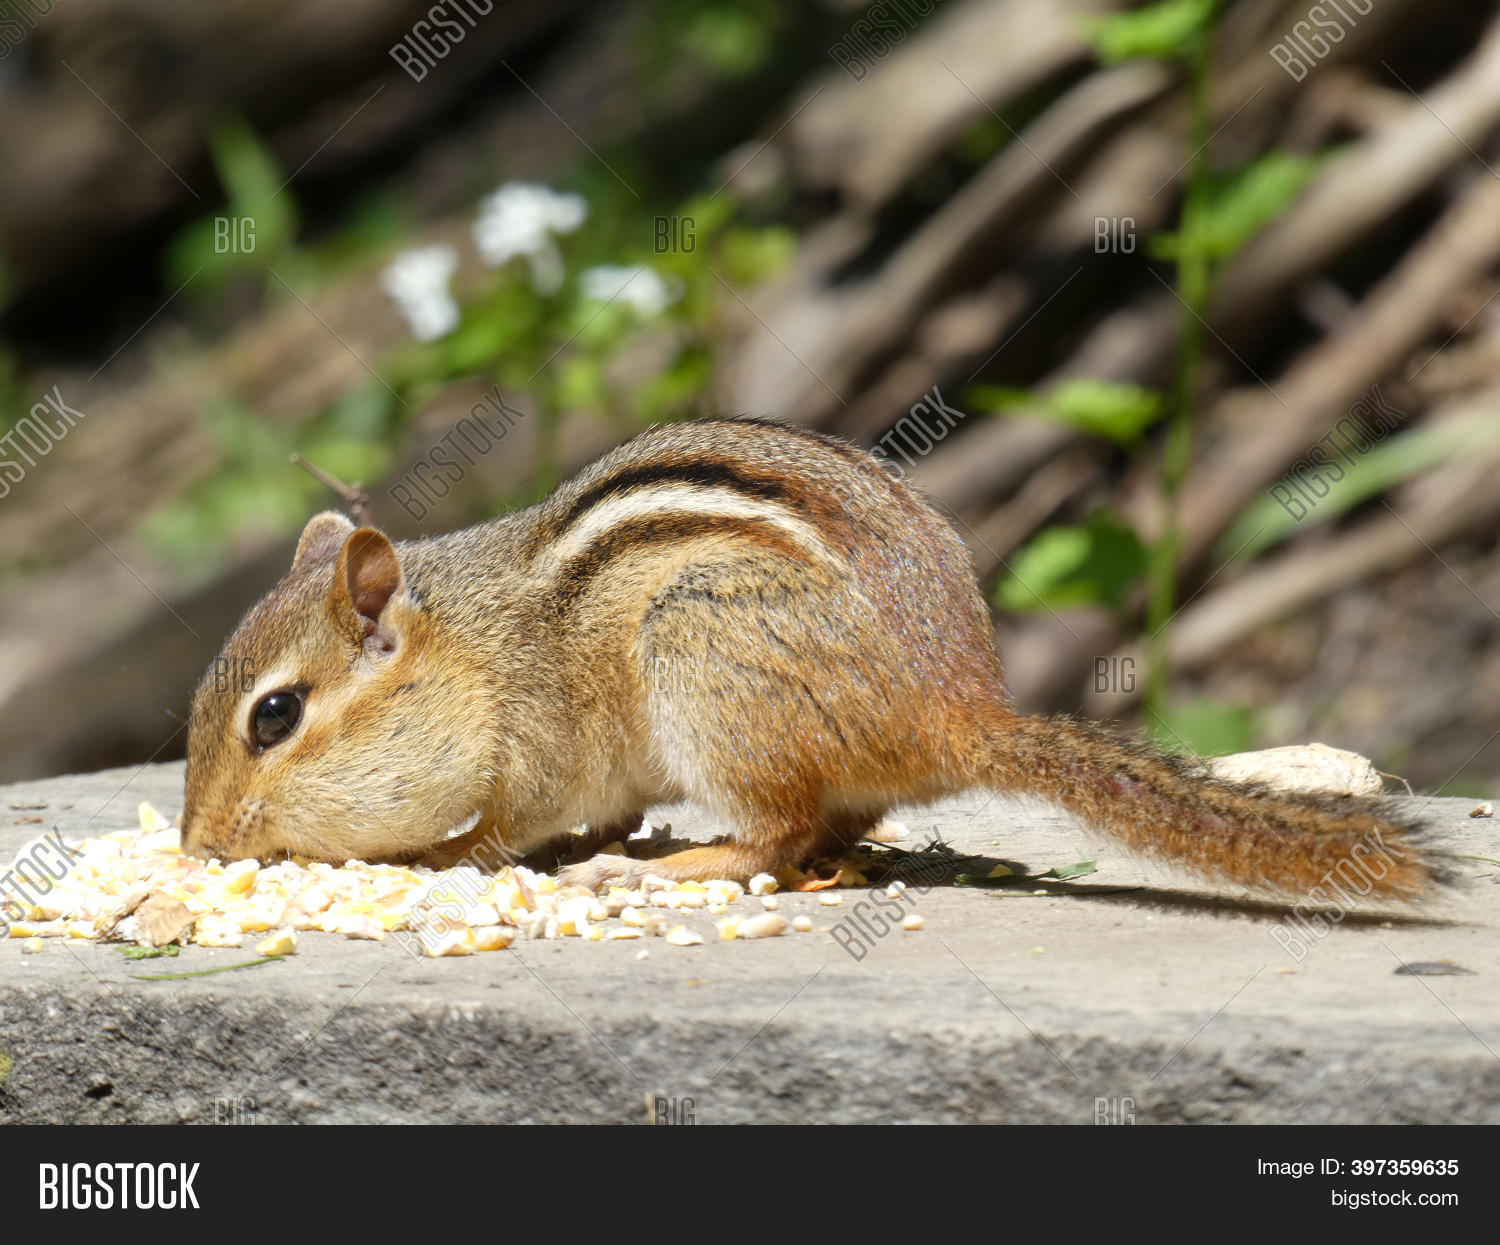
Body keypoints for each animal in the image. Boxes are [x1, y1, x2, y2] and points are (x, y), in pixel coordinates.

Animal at [181, 416, 1444, 901]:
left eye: (274, 718)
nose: (198, 845)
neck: (473, 651)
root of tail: (956, 706)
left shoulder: (534, 744)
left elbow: (502, 827)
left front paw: (432, 860)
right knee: (834, 827)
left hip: (701, 644)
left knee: (776, 836)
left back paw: (674, 865)